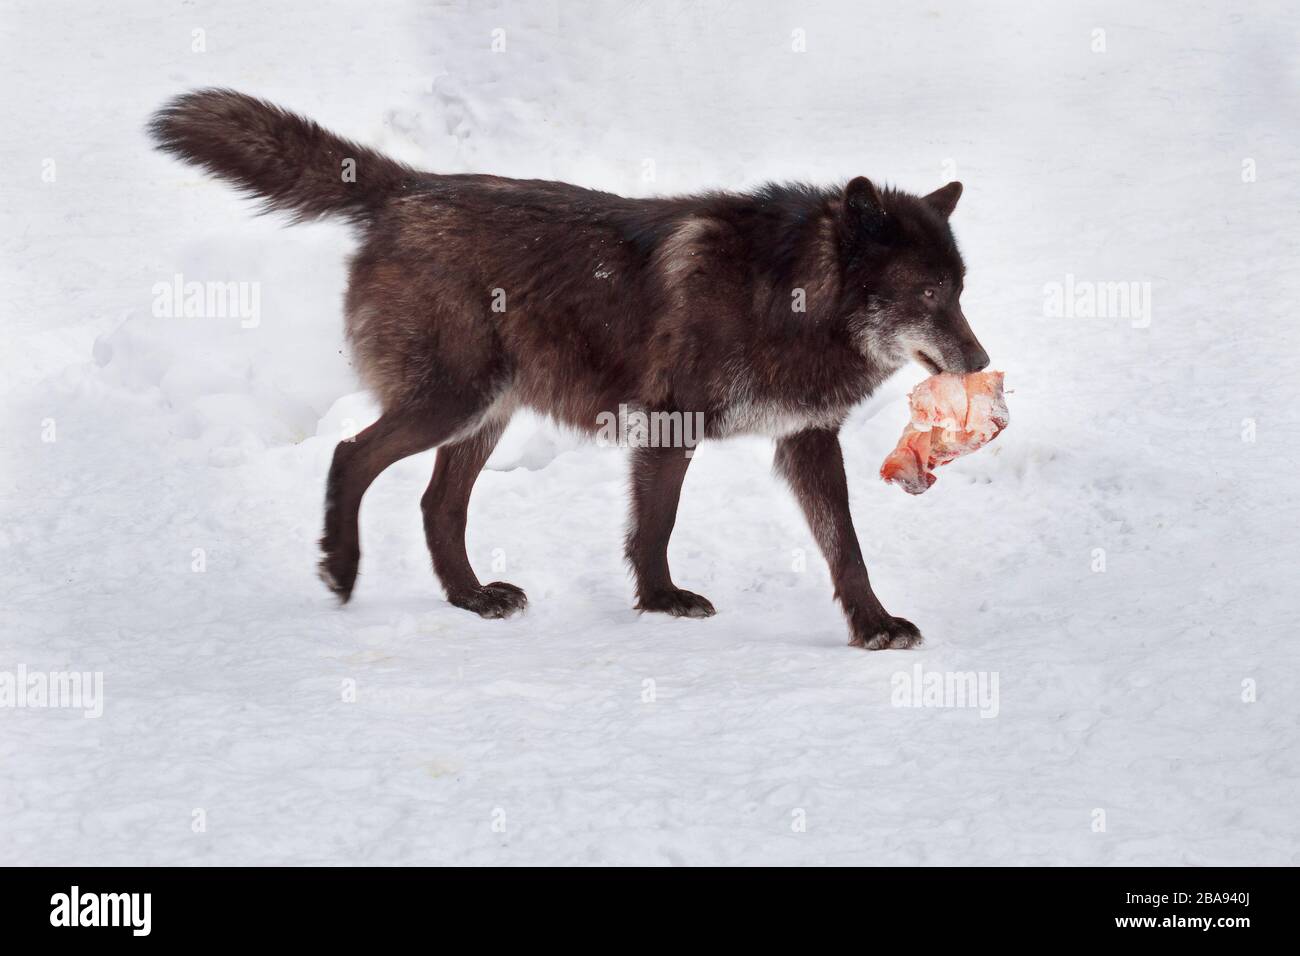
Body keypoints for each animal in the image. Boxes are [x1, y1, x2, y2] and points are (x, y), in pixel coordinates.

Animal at [149, 89, 990, 649]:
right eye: (927, 293)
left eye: (959, 289)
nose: (981, 360)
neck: (785, 293)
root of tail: (411, 190)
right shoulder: (669, 427)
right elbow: (655, 527)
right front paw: (662, 601)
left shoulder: (807, 440)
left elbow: (846, 547)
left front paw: (873, 625)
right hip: (455, 401)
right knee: (352, 454)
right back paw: (344, 569)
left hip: (486, 413)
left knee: (436, 506)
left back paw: (471, 597)